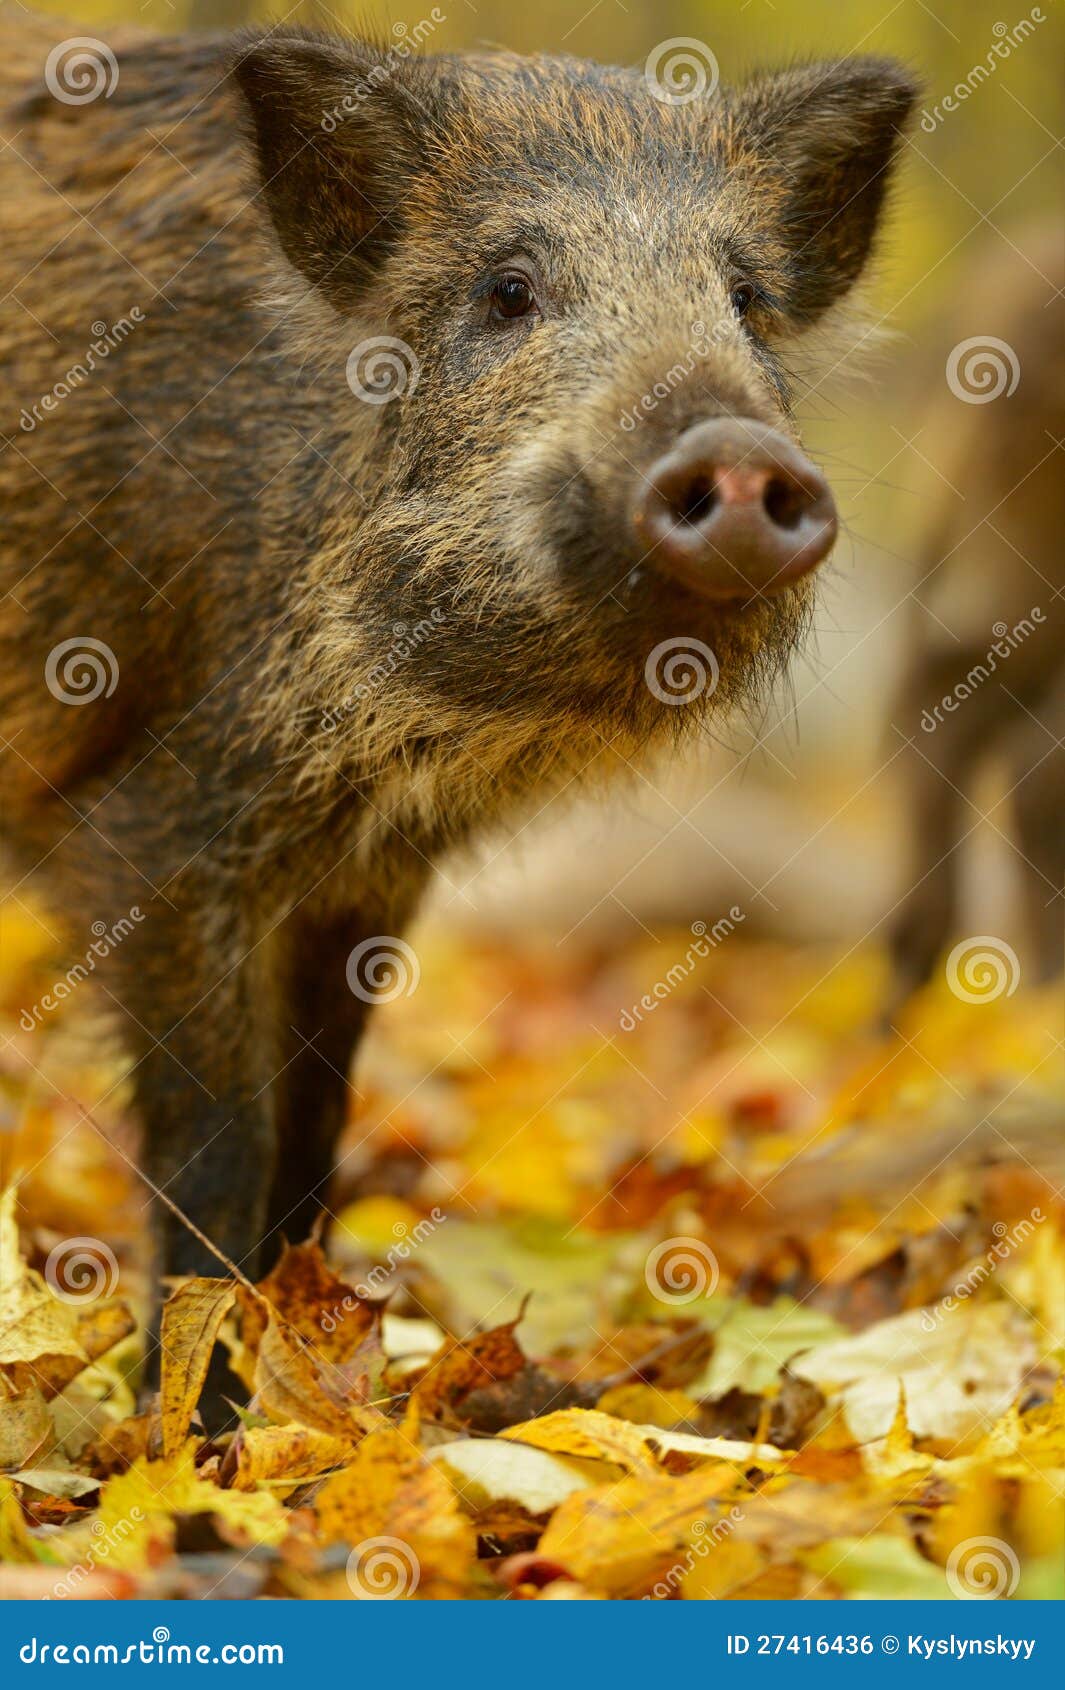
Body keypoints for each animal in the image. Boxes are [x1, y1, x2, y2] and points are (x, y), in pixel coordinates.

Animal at [0, 17, 915, 1405]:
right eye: (508, 290)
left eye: (747, 300)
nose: (741, 456)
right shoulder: (153, 827)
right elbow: (220, 1145)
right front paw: (198, 1427)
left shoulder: (364, 879)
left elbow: (316, 1124)